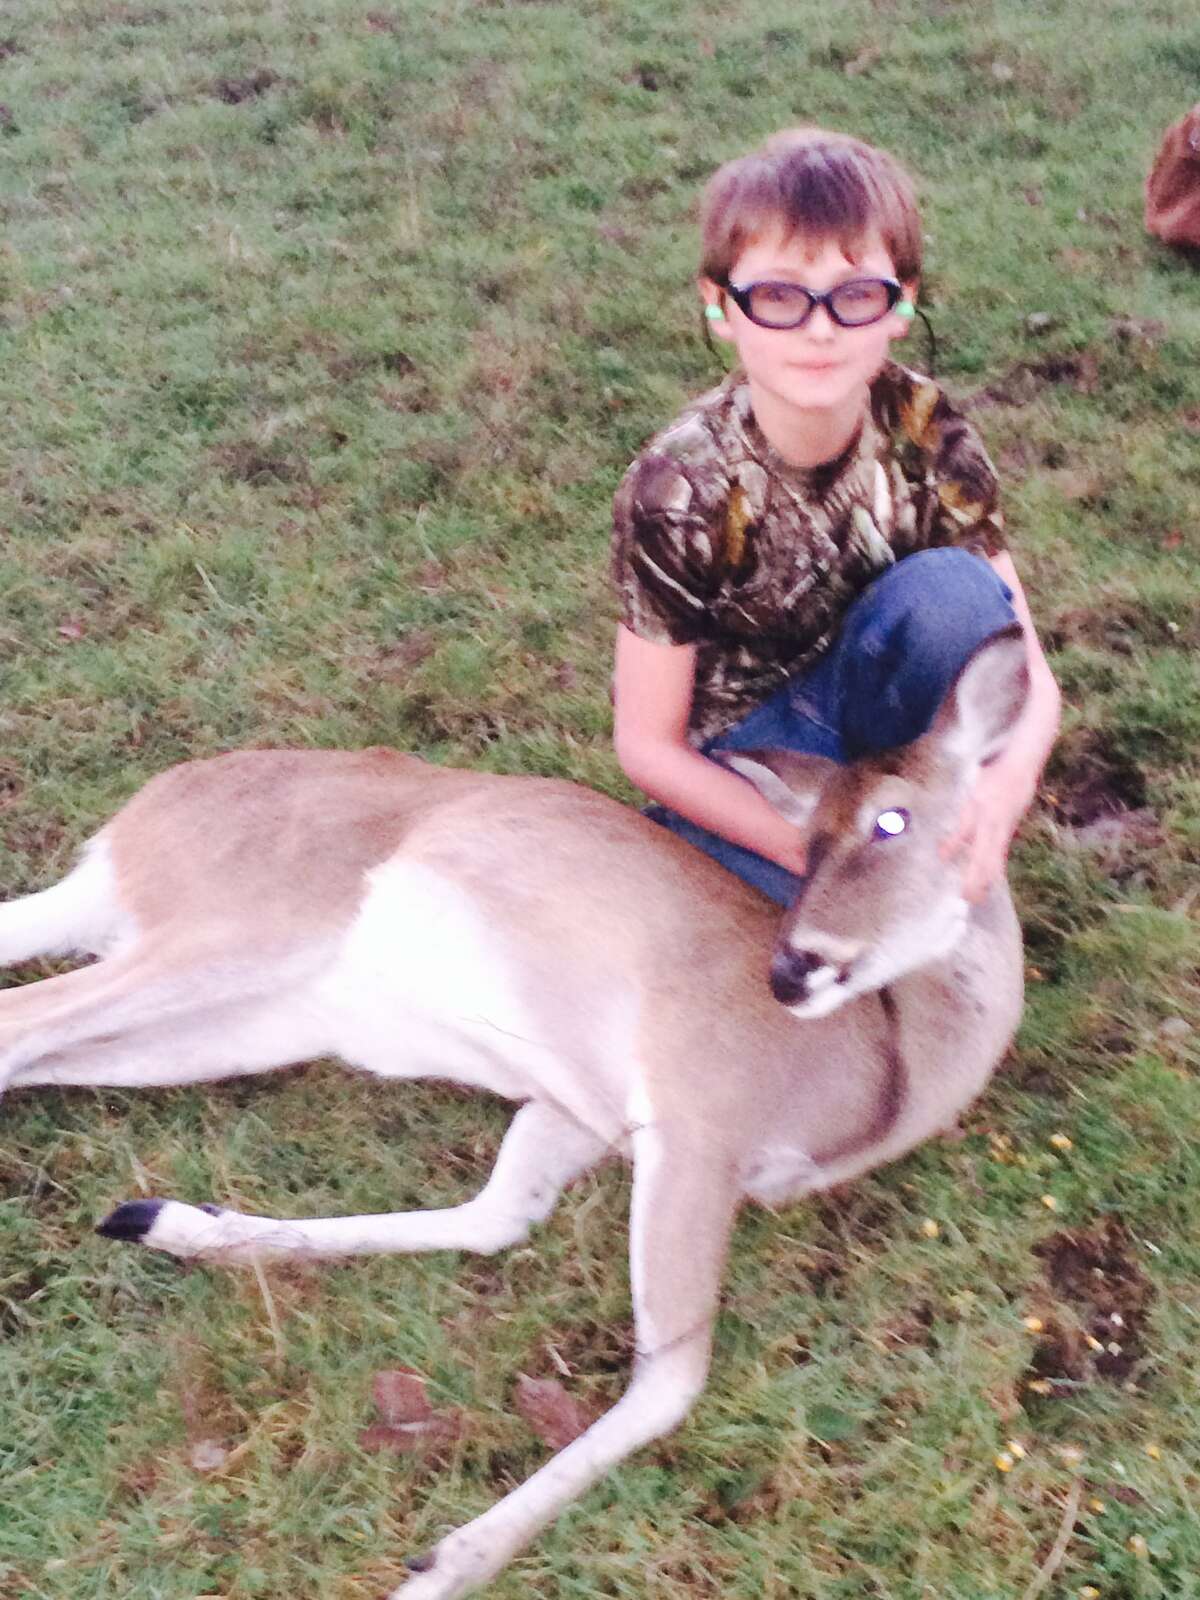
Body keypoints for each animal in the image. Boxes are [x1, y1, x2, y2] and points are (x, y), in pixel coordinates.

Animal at [0, 626, 1028, 1600]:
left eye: (891, 818)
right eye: (807, 842)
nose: (794, 967)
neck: (877, 1072)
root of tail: (122, 837)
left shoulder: (582, 1114)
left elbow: (497, 1215)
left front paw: (184, 1224)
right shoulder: (697, 1116)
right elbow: (673, 1375)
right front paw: (442, 1566)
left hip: (247, 1020)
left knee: (41, 1047)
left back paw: (149, 1217)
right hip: (235, 930)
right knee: (22, 1023)